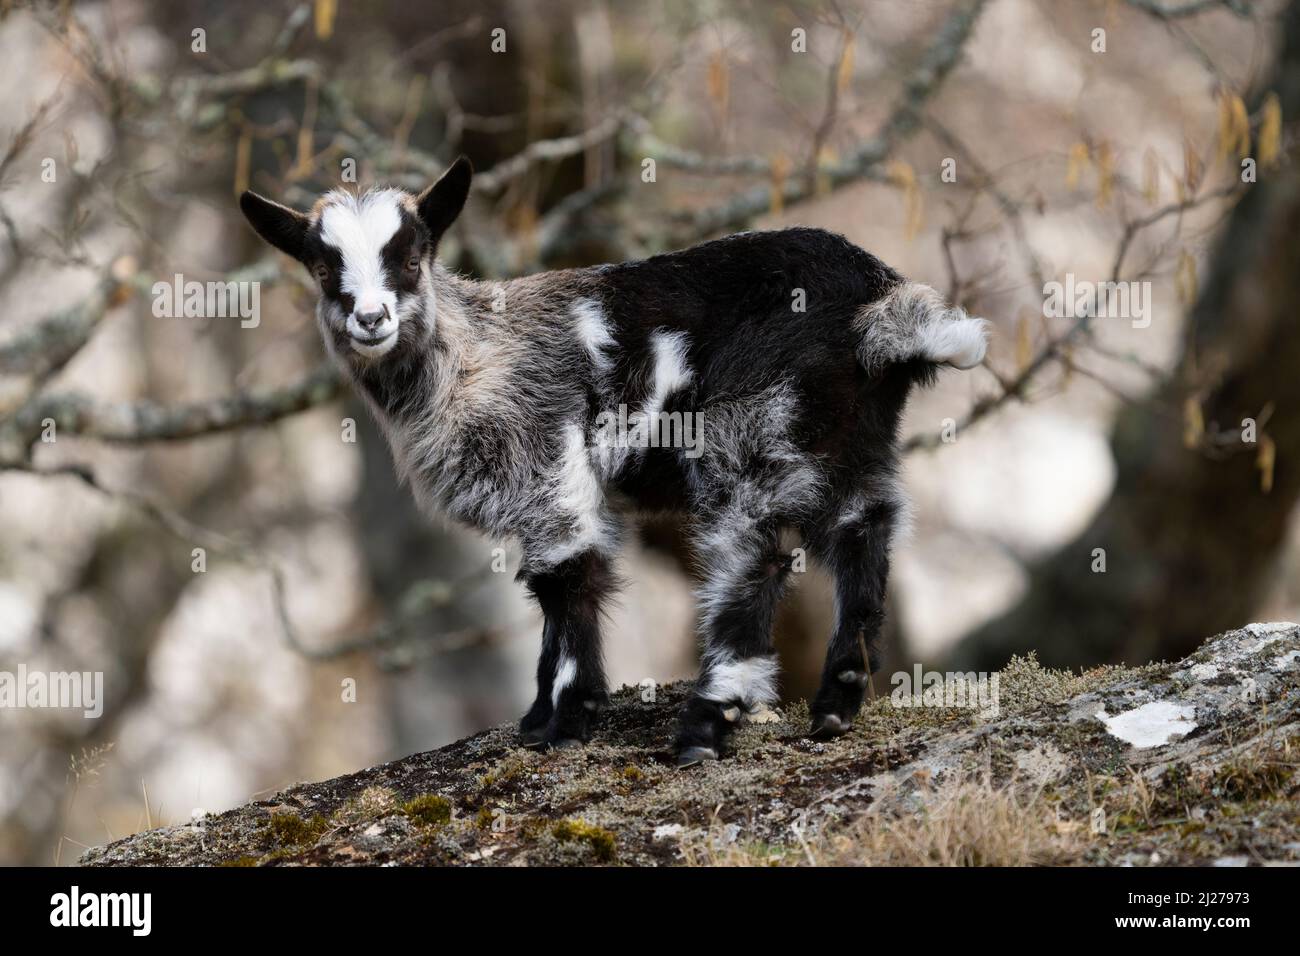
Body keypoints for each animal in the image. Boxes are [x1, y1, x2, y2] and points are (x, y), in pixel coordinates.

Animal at [239, 156, 989, 767]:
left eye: (411, 256)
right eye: (324, 266)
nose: (370, 319)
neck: (473, 356)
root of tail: (882, 301)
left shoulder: (544, 465)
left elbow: (567, 578)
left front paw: (569, 720)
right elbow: (553, 586)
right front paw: (539, 719)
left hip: (748, 432)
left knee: (753, 562)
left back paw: (704, 728)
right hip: (853, 442)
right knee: (867, 531)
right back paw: (837, 701)